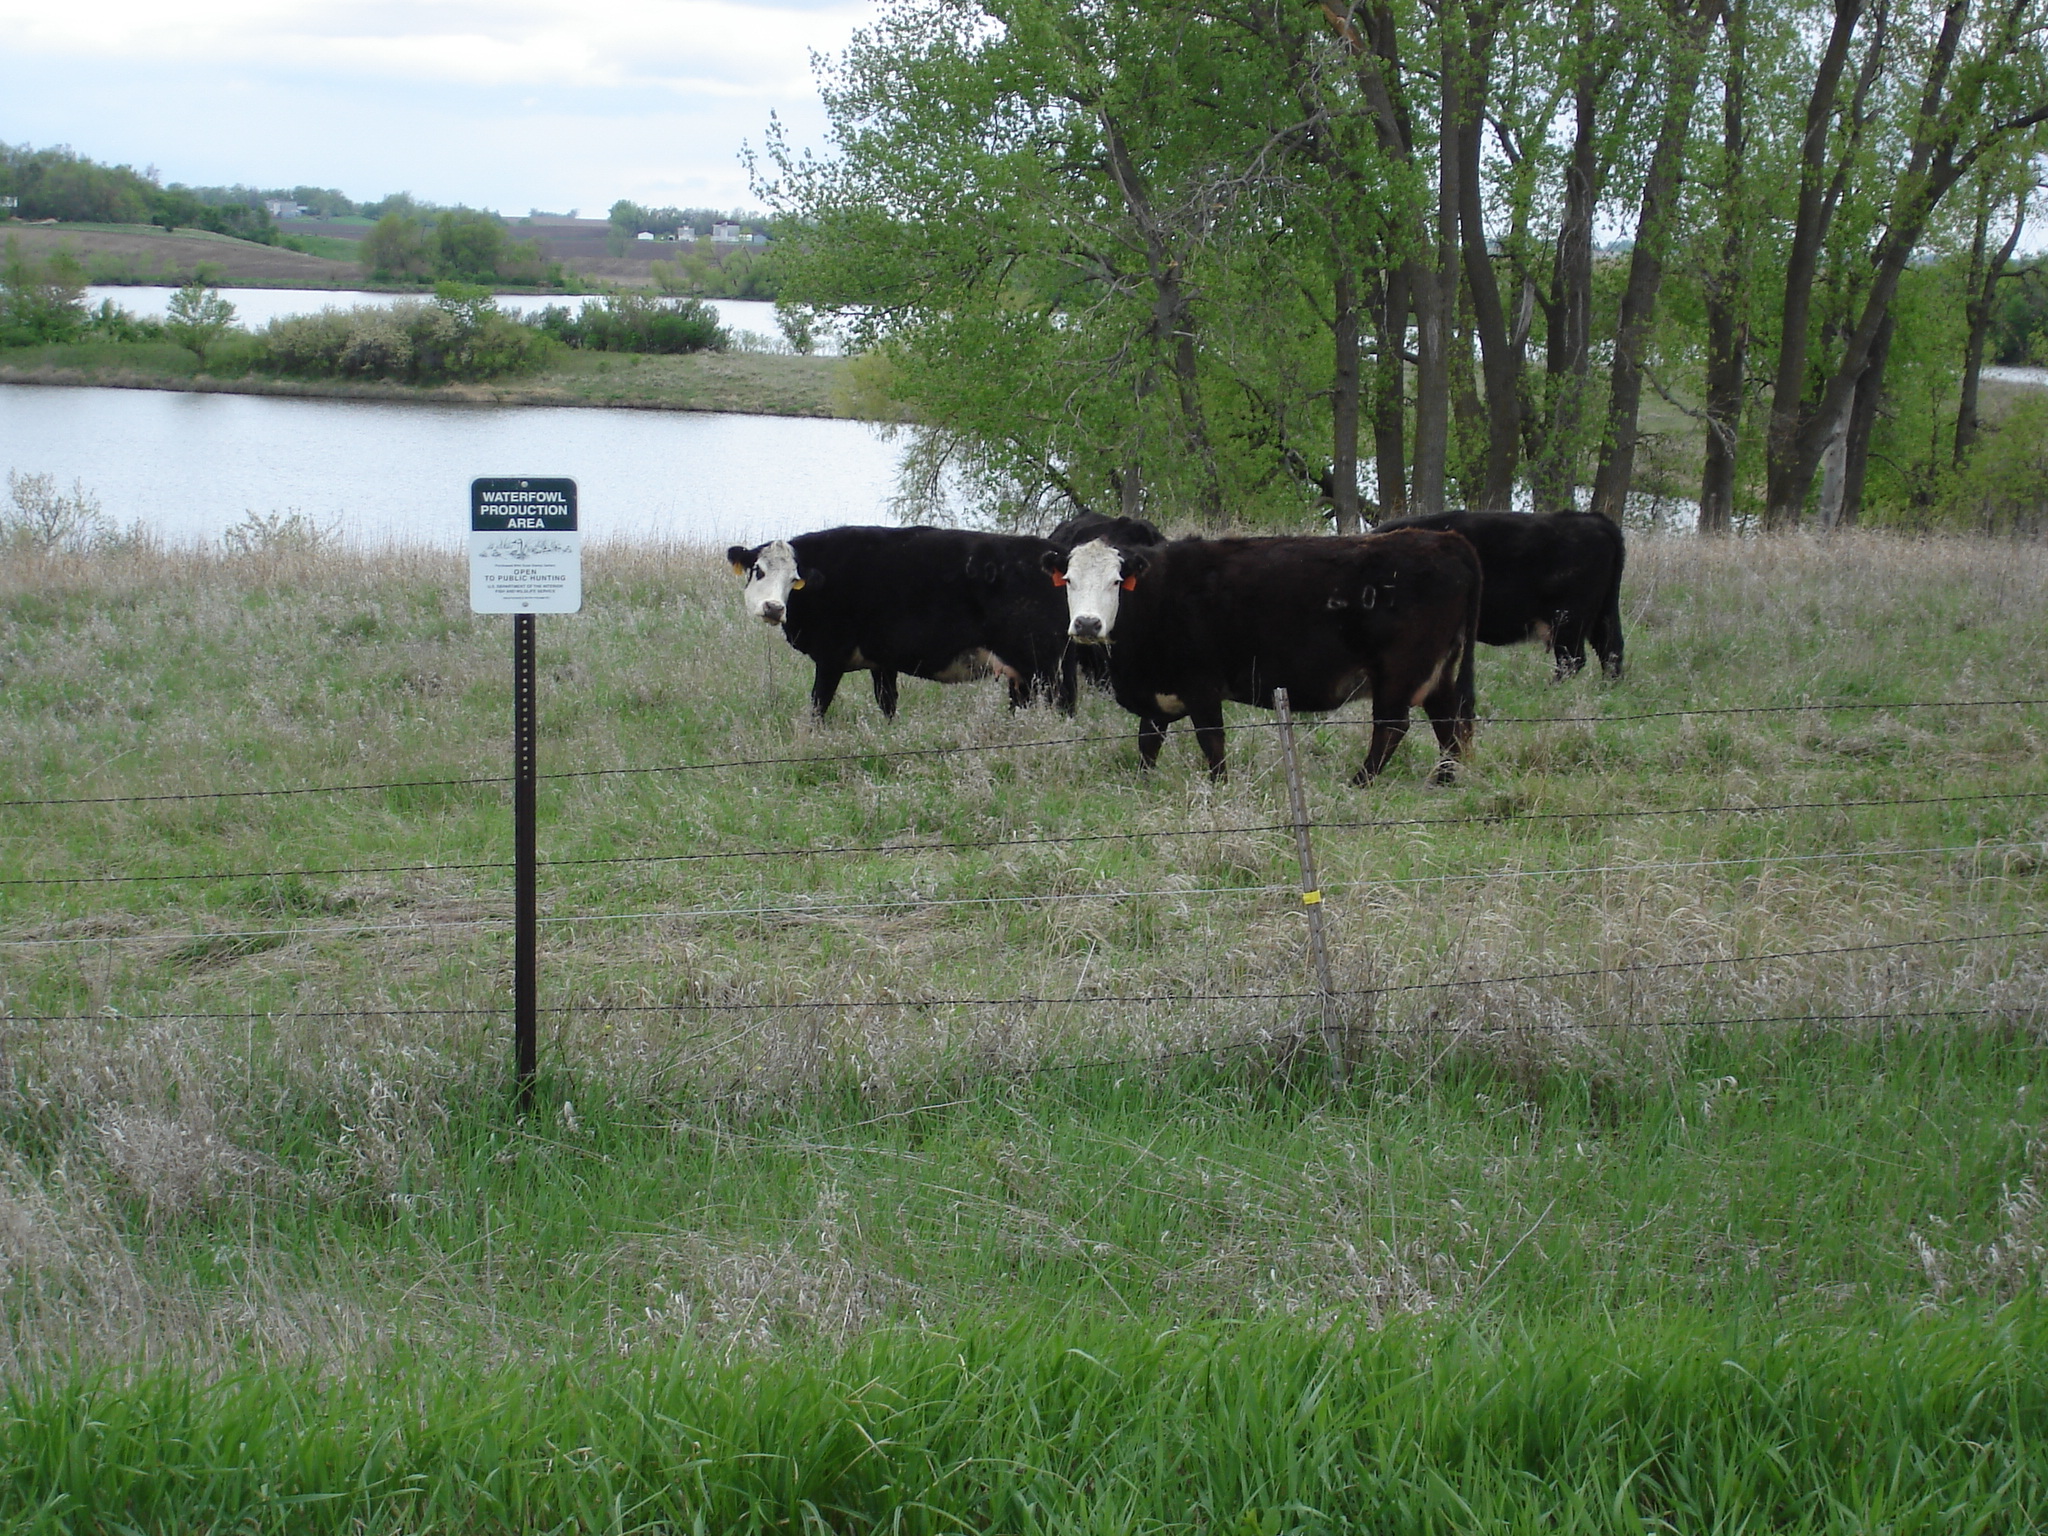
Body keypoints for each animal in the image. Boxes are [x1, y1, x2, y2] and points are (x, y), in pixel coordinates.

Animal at [728, 525, 1081, 719]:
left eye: (794, 578)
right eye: (759, 571)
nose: (773, 607)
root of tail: (1057, 553)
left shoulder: (830, 658)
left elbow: (818, 705)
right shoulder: (882, 661)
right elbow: (887, 704)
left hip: (1042, 664)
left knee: (1059, 703)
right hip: (1028, 670)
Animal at [1041, 530, 1482, 786]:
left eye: (1116, 581)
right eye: (1069, 580)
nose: (1087, 623)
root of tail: (1443, 538)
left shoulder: (1202, 687)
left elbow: (1211, 741)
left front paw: (1219, 787)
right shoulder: (1157, 693)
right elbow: (1147, 743)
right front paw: (1144, 785)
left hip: (1398, 671)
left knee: (1392, 727)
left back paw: (1360, 782)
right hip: (1438, 671)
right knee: (1448, 723)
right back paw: (1446, 780)